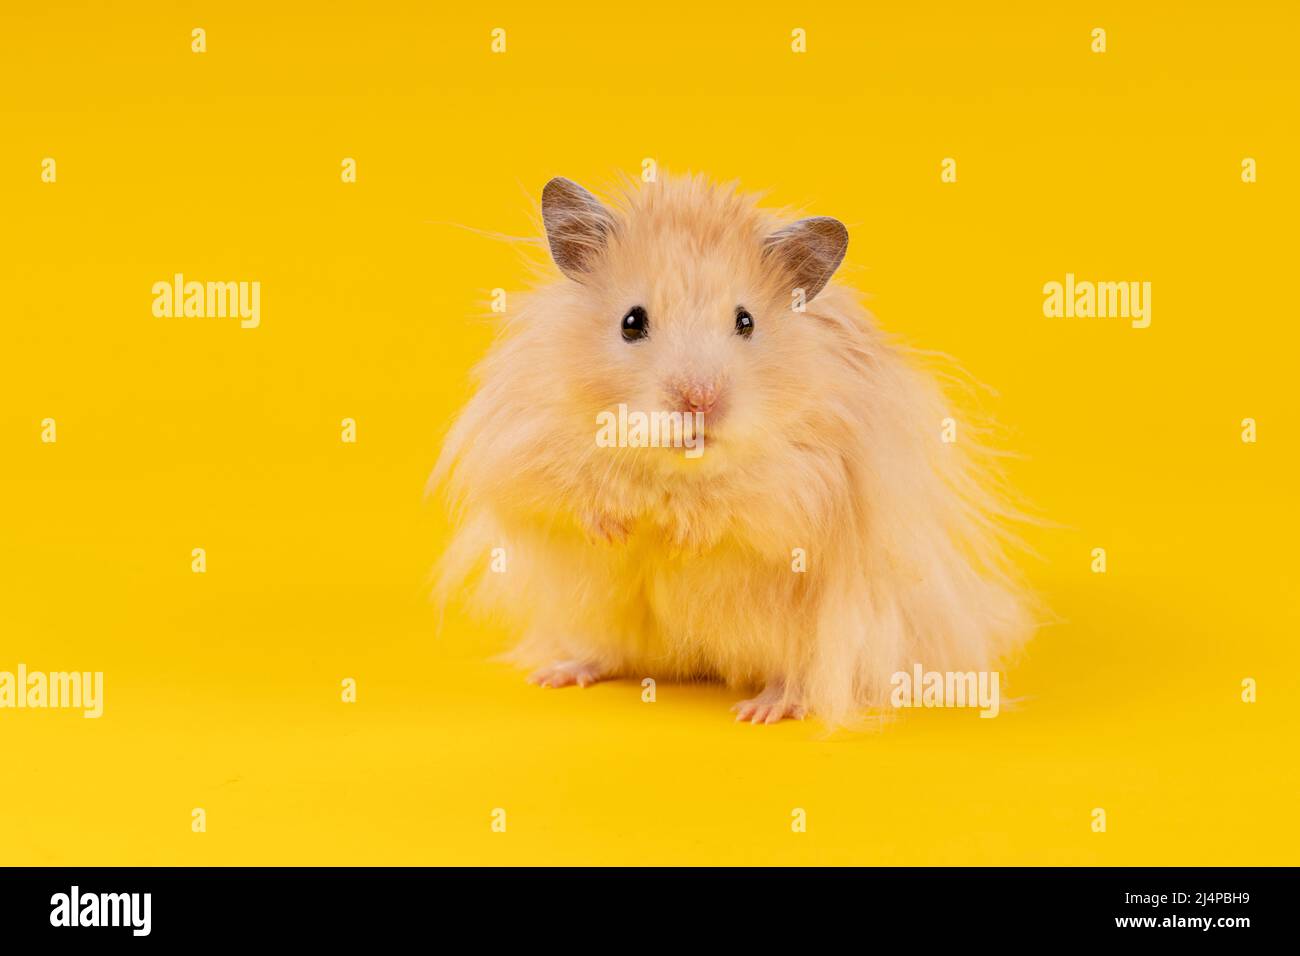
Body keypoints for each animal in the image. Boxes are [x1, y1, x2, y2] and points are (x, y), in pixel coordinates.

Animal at [433, 173, 1034, 726]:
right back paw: (560, 673)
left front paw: (677, 535)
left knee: (799, 674)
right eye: (632, 321)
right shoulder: (522, 449)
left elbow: (740, 512)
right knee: (609, 652)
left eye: (745, 321)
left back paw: (766, 708)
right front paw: (622, 526)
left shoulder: (808, 487)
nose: (700, 401)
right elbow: (564, 495)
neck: (674, 468)